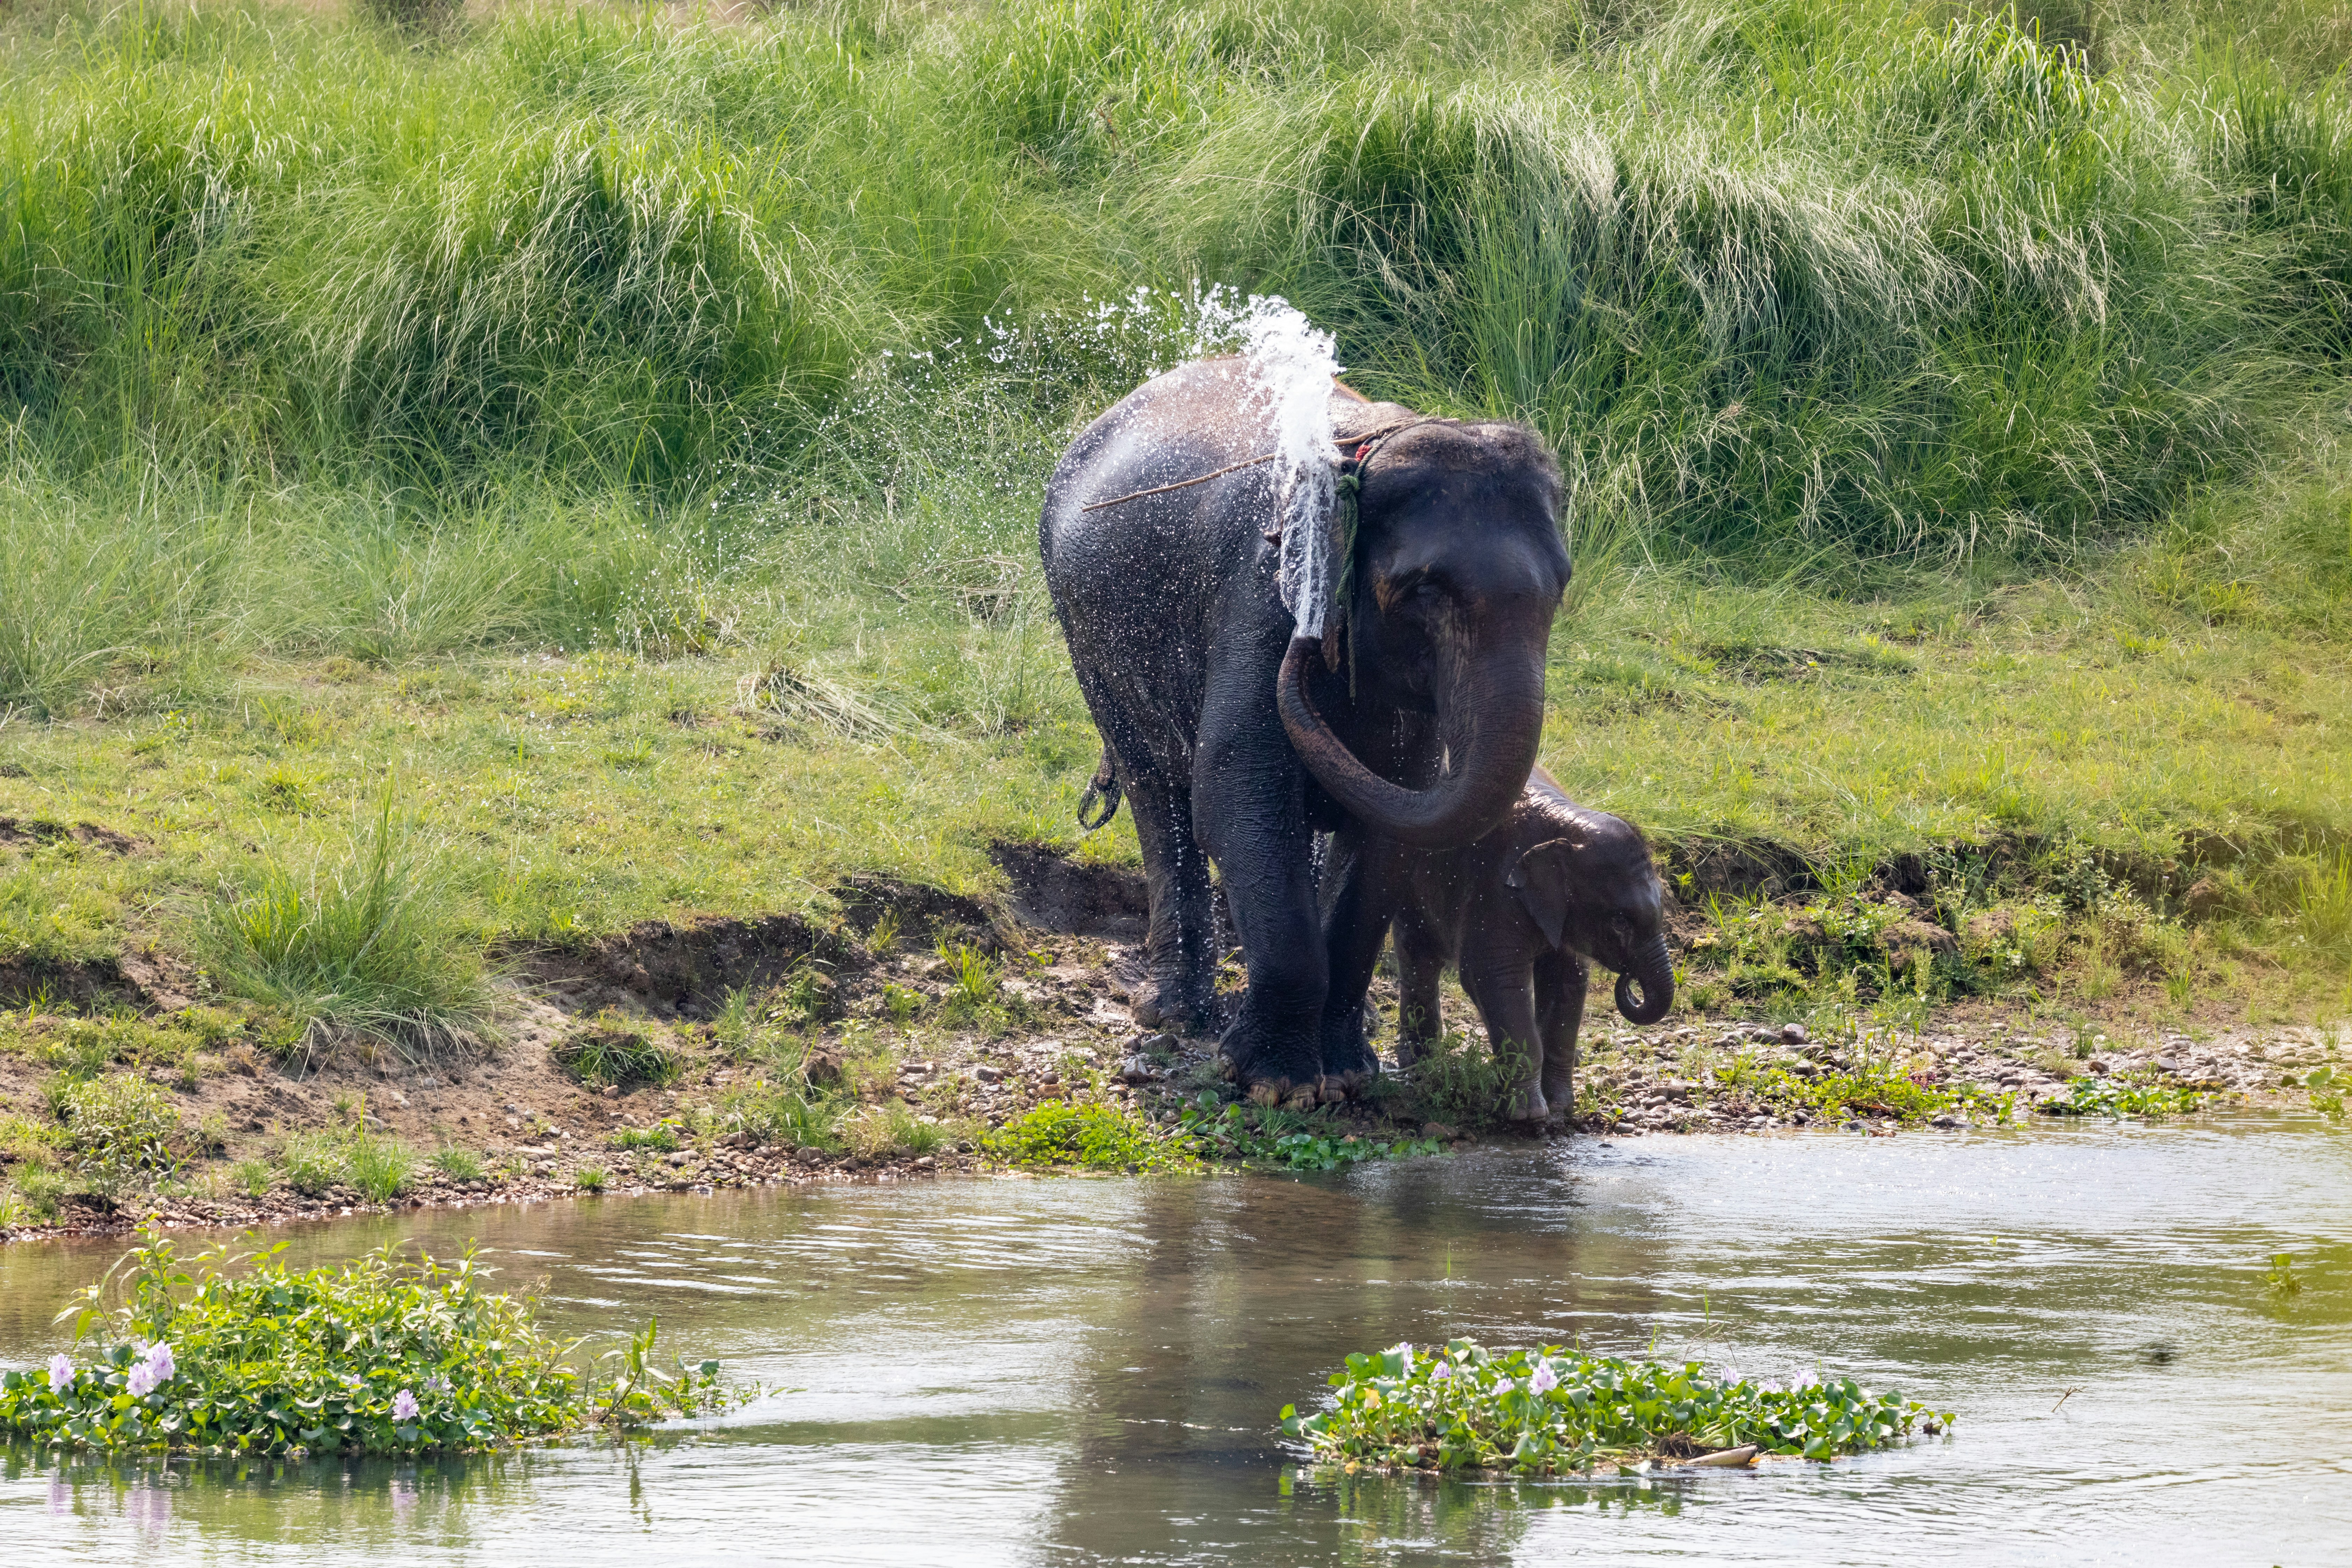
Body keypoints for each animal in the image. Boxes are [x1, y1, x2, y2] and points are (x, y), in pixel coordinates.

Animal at [1040, 359, 1568, 1108]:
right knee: (1156, 791)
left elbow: (1388, 828)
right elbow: (1238, 795)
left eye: (1561, 588)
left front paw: (1344, 1072)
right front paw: (1276, 1084)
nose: (1312, 645)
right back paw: (1176, 1016)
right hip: (1089, 639)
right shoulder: (1262, 596)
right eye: (1424, 590)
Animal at [1360, 765, 1674, 1122]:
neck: (1565, 830)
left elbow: (1568, 981)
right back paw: (1419, 1066)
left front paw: (1561, 1108)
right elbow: (1494, 975)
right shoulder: (1496, 886)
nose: (1630, 981)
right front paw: (1526, 1116)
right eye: (1620, 922)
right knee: (1419, 955)